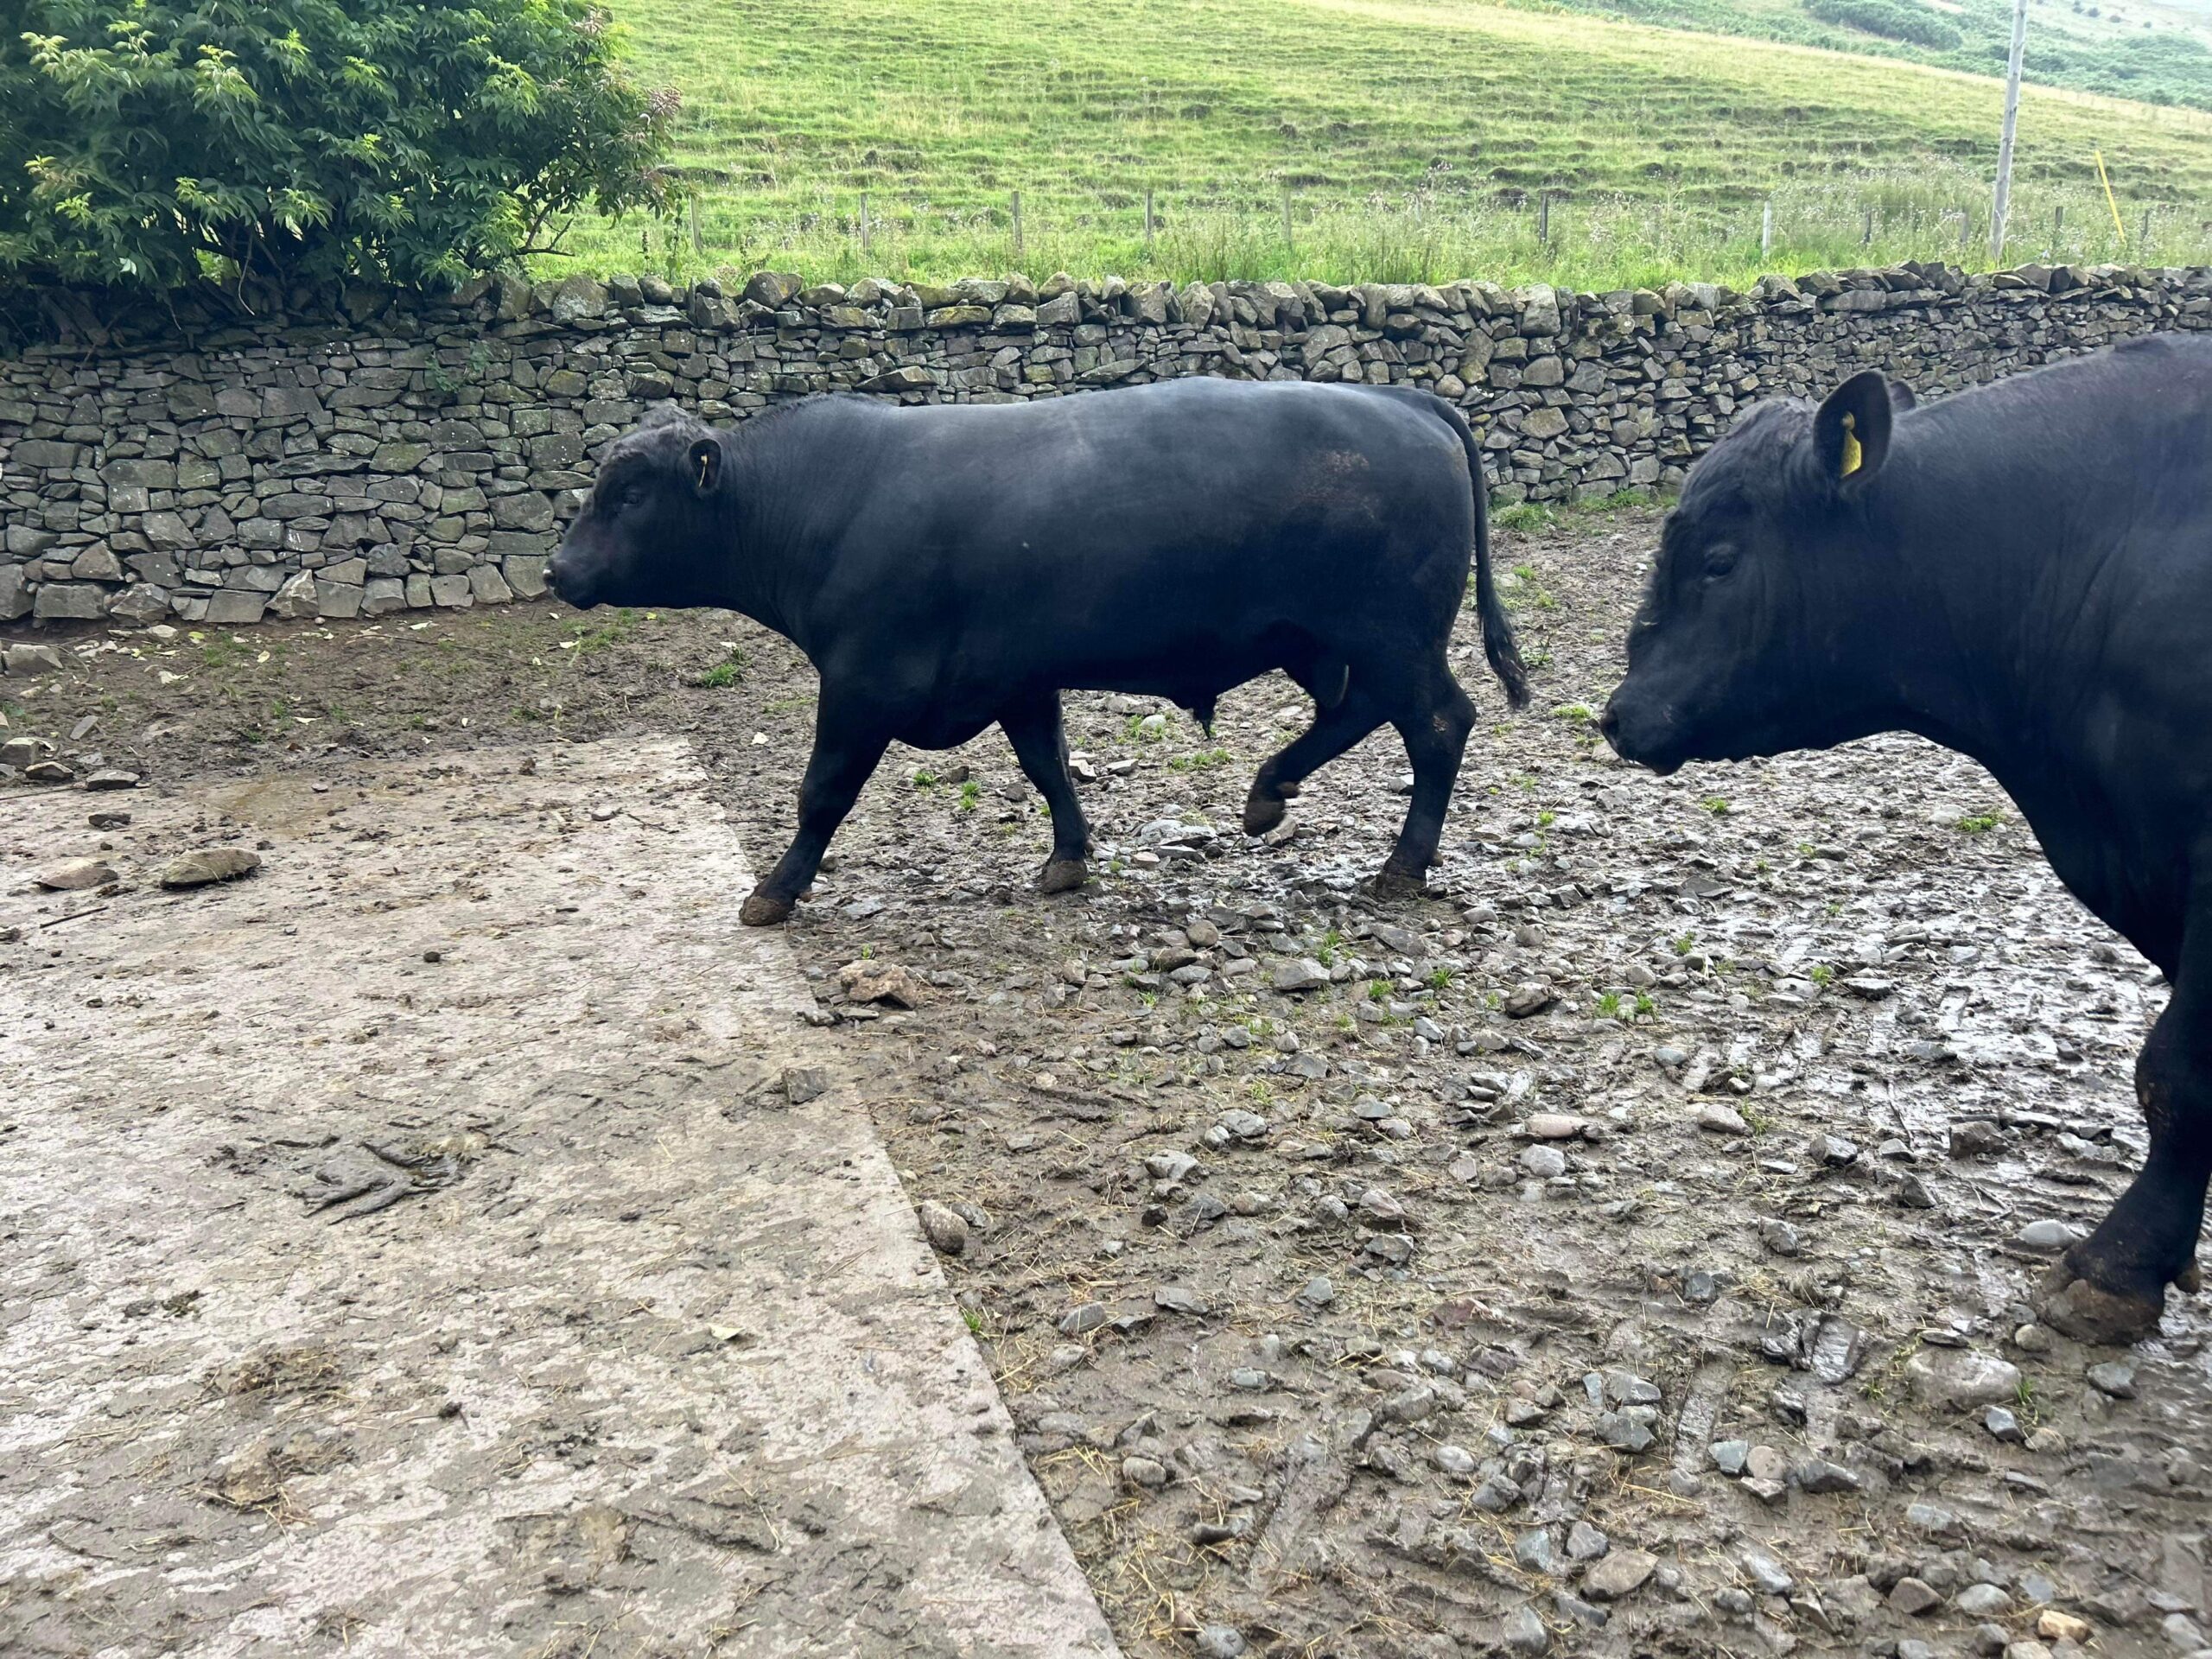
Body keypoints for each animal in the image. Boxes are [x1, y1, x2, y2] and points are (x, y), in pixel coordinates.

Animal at [546, 378, 1528, 930]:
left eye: (629, 492)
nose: (557, 569)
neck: (823, 495)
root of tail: (1405, 398)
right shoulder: (1014, 677)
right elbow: (1048, 765)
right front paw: (1067, 859)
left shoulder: (863, 683)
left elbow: (822, 791)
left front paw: (777, 889)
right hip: (1337, 639)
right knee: (1361, 711)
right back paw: (1268, 789)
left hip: (1390, 633)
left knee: (1439, 723)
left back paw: (1402, 862)